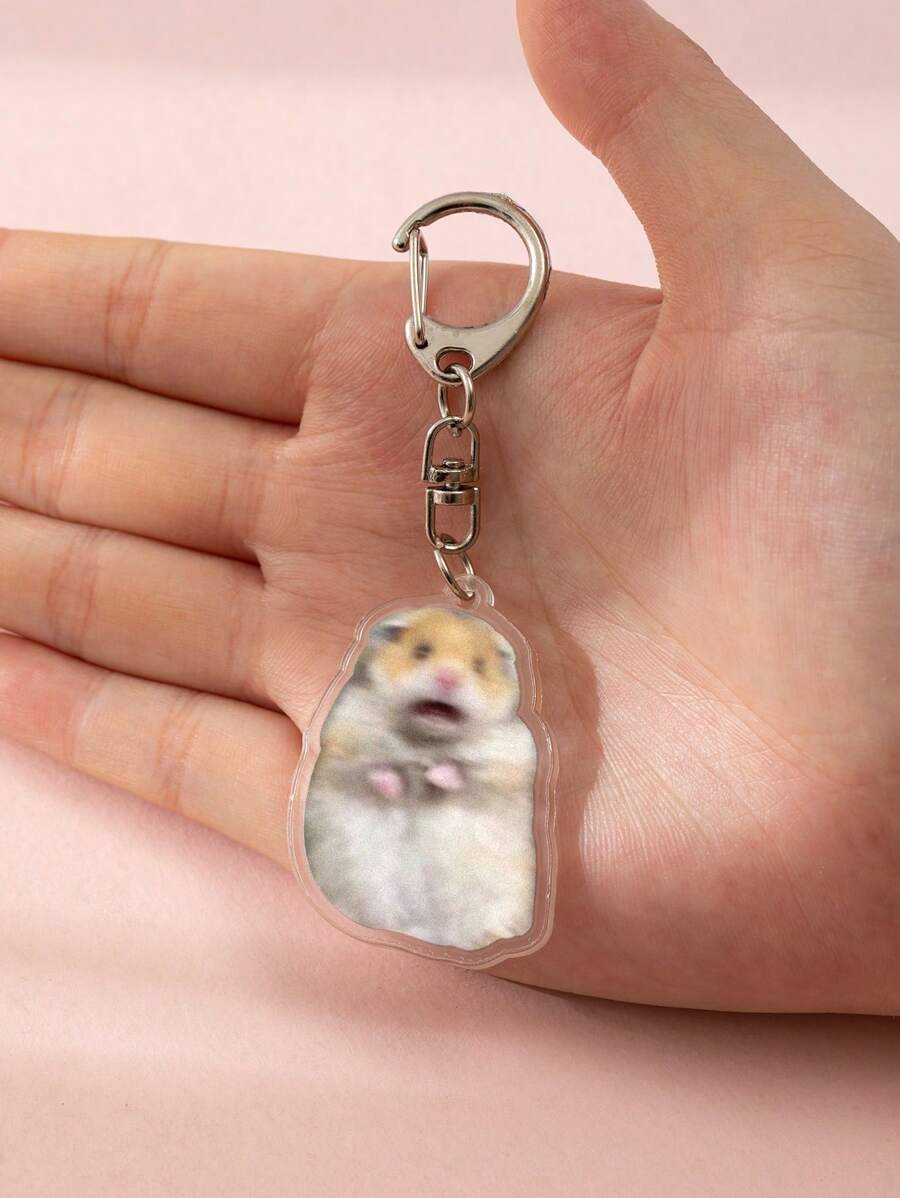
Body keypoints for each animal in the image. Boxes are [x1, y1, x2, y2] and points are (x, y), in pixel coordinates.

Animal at [303, 607, 538, 951]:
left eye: (479, 667)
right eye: (421, 651)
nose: (448, 678)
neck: (426, 741)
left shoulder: (510, 765)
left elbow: (465, 774)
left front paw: (434, 774)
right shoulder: (343, 742)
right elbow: (371, 770)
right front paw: (396, 784)